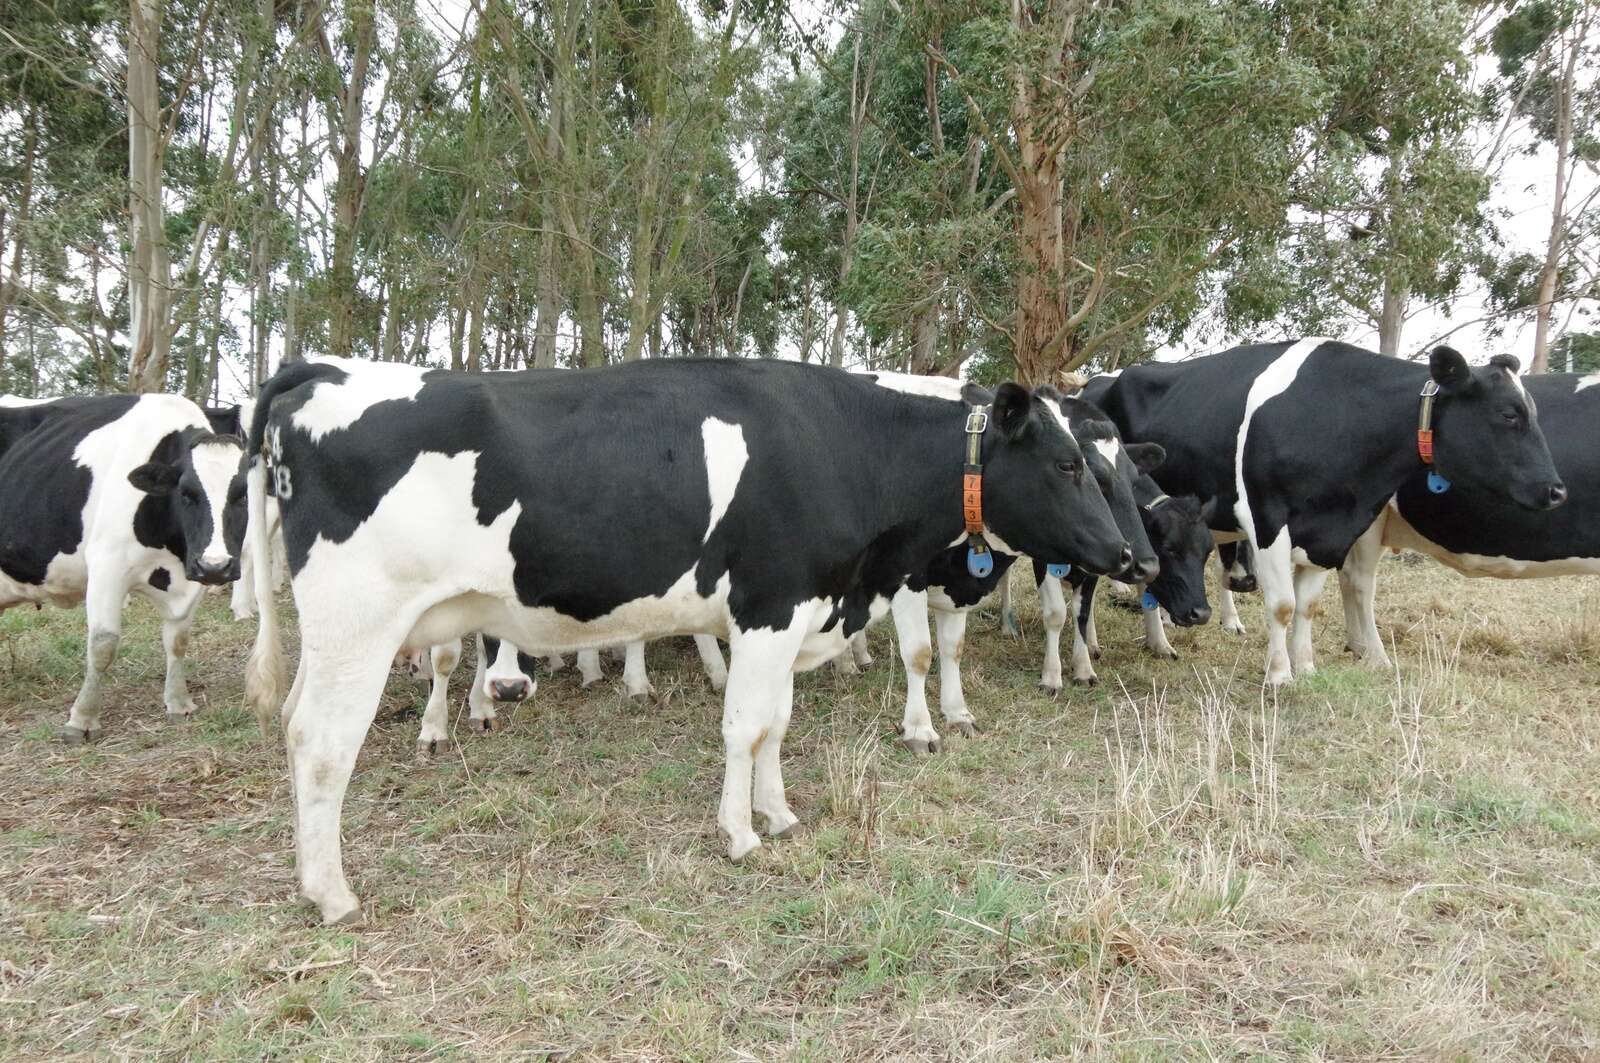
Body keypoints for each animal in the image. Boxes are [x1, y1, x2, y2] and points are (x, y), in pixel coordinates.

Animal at [0, 394, 247, 741]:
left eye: (242, 495)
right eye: (187, 493)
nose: (216, 566)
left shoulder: (191, 576)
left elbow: (178, 640)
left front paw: (178, 702)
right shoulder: (107, 565)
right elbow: (103, 645)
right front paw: (82, 718)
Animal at [242, 356, 1131, 922]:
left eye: (1100, 461)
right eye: (1066, 463)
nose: (1127, 554)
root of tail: (317, 369)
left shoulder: (792, 613)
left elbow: (777, 724)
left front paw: (779, 813)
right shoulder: (771, 604)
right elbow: (745, 726)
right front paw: (739, 833)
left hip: (329, 633)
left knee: (291, 726)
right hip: (359, 621)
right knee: (321, 744)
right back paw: (332, 893)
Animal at [1080, 340, 1566, 684]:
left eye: (1533, 413)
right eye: (1508, 414)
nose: (1557, 490)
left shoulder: (1330, 533)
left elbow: (1308, 605)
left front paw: (1306, 666)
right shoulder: (1268, 518)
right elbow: (1282, 604)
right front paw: (1279, 675)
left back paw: (1163, 638)